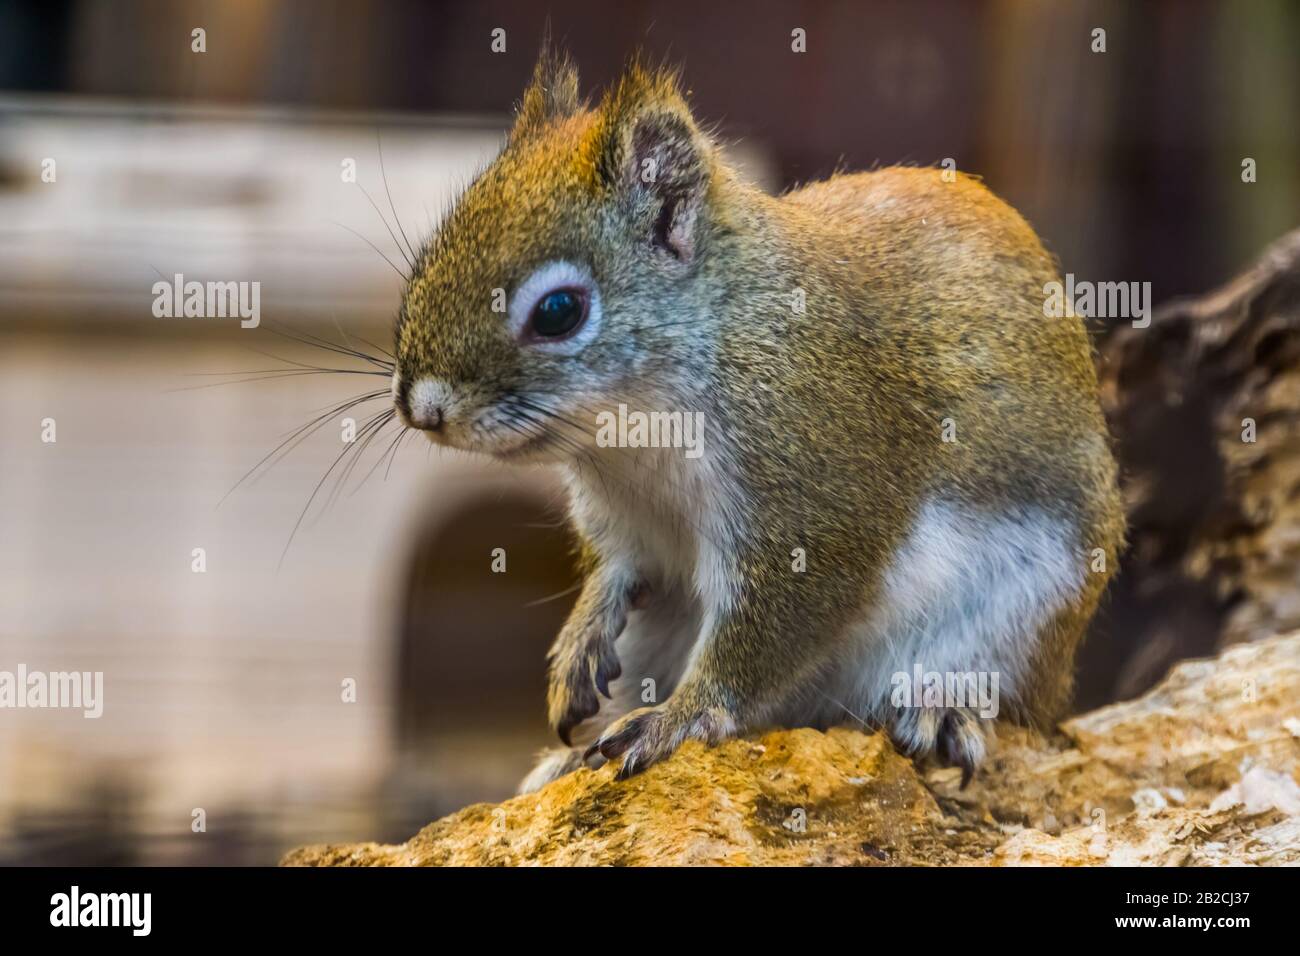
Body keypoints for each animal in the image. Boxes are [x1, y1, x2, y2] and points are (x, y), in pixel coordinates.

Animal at [392, 43, 1125, 792]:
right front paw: (579, 643)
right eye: (426, 261)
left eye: (559, 311)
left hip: (1019, 616)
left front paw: (680, 716)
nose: (421, 408)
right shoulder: (627, 521)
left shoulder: (813, 506)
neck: (633, 427)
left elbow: (766, 637)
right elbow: (616, 570)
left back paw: (942, 710)